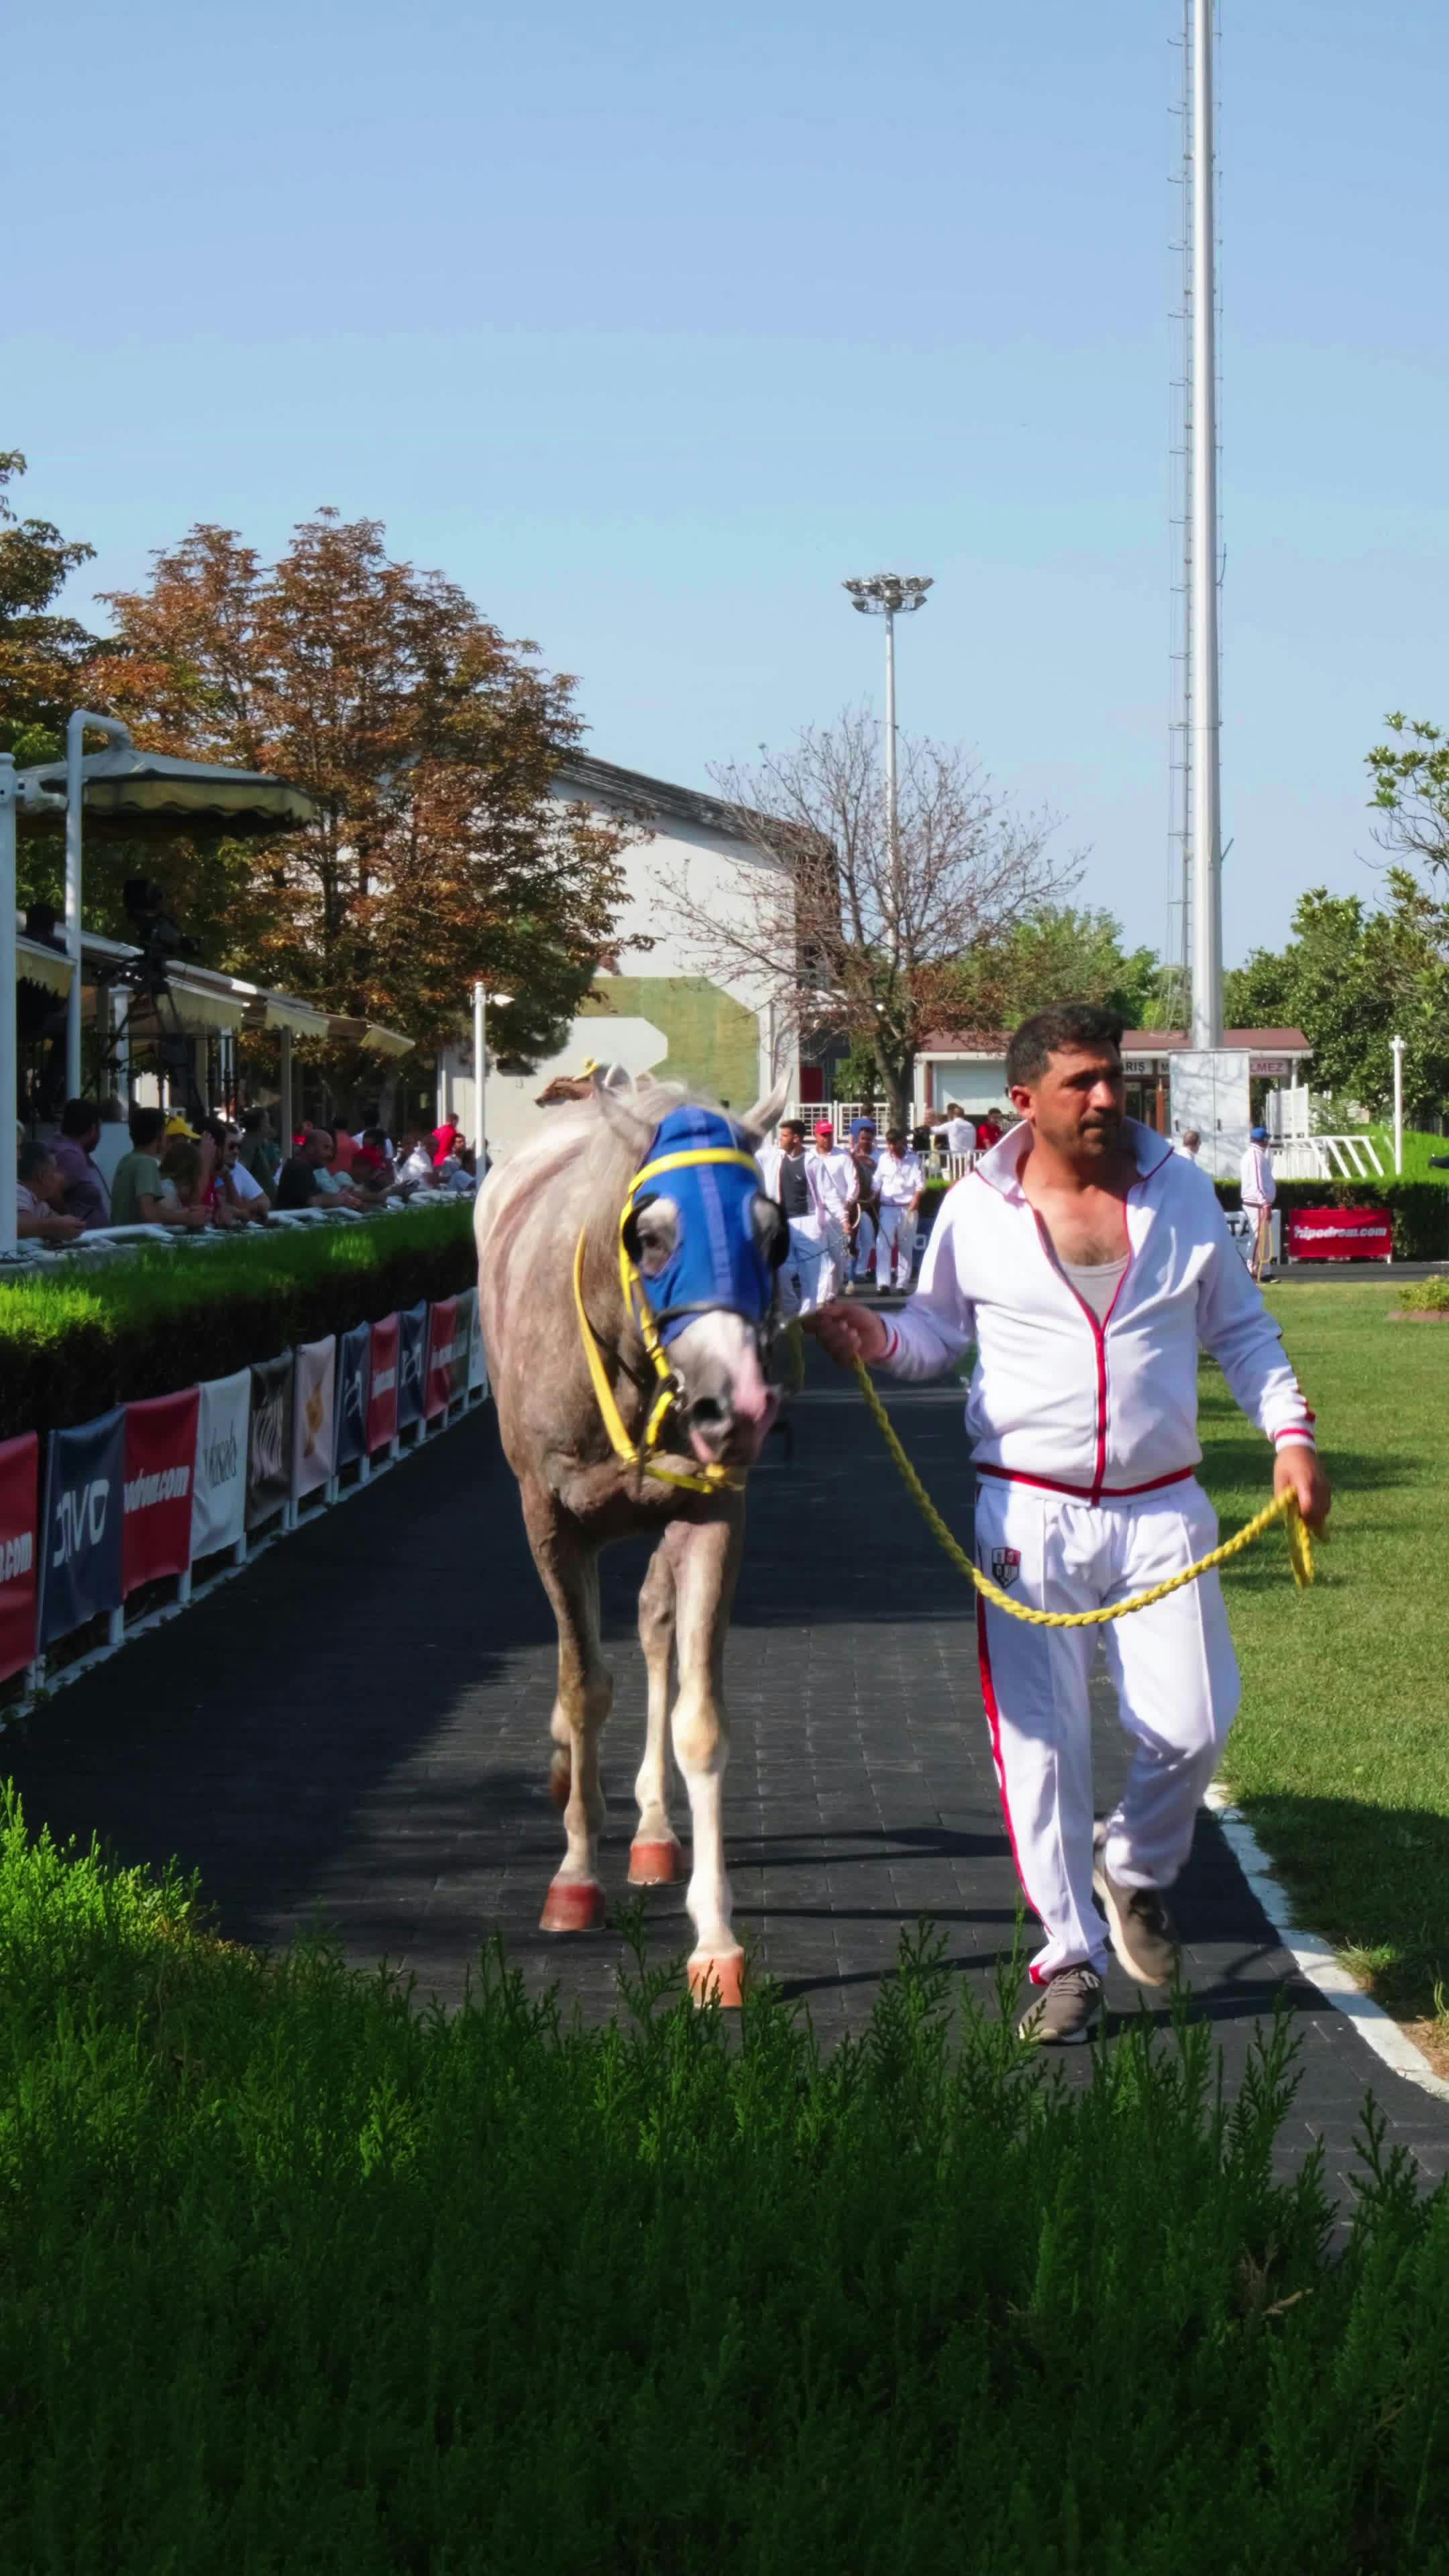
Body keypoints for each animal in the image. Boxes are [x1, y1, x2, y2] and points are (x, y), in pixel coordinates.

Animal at [475, 1069, 791, 2004]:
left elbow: (699, 1721)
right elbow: (584, 1687)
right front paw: (575, 1875)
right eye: (650, 1237)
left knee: (654, 1626)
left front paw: (716, 1940)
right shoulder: (550, 1514)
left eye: (774, 1237)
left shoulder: (711, 1507)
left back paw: (652, 1826)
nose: (739, 1404)